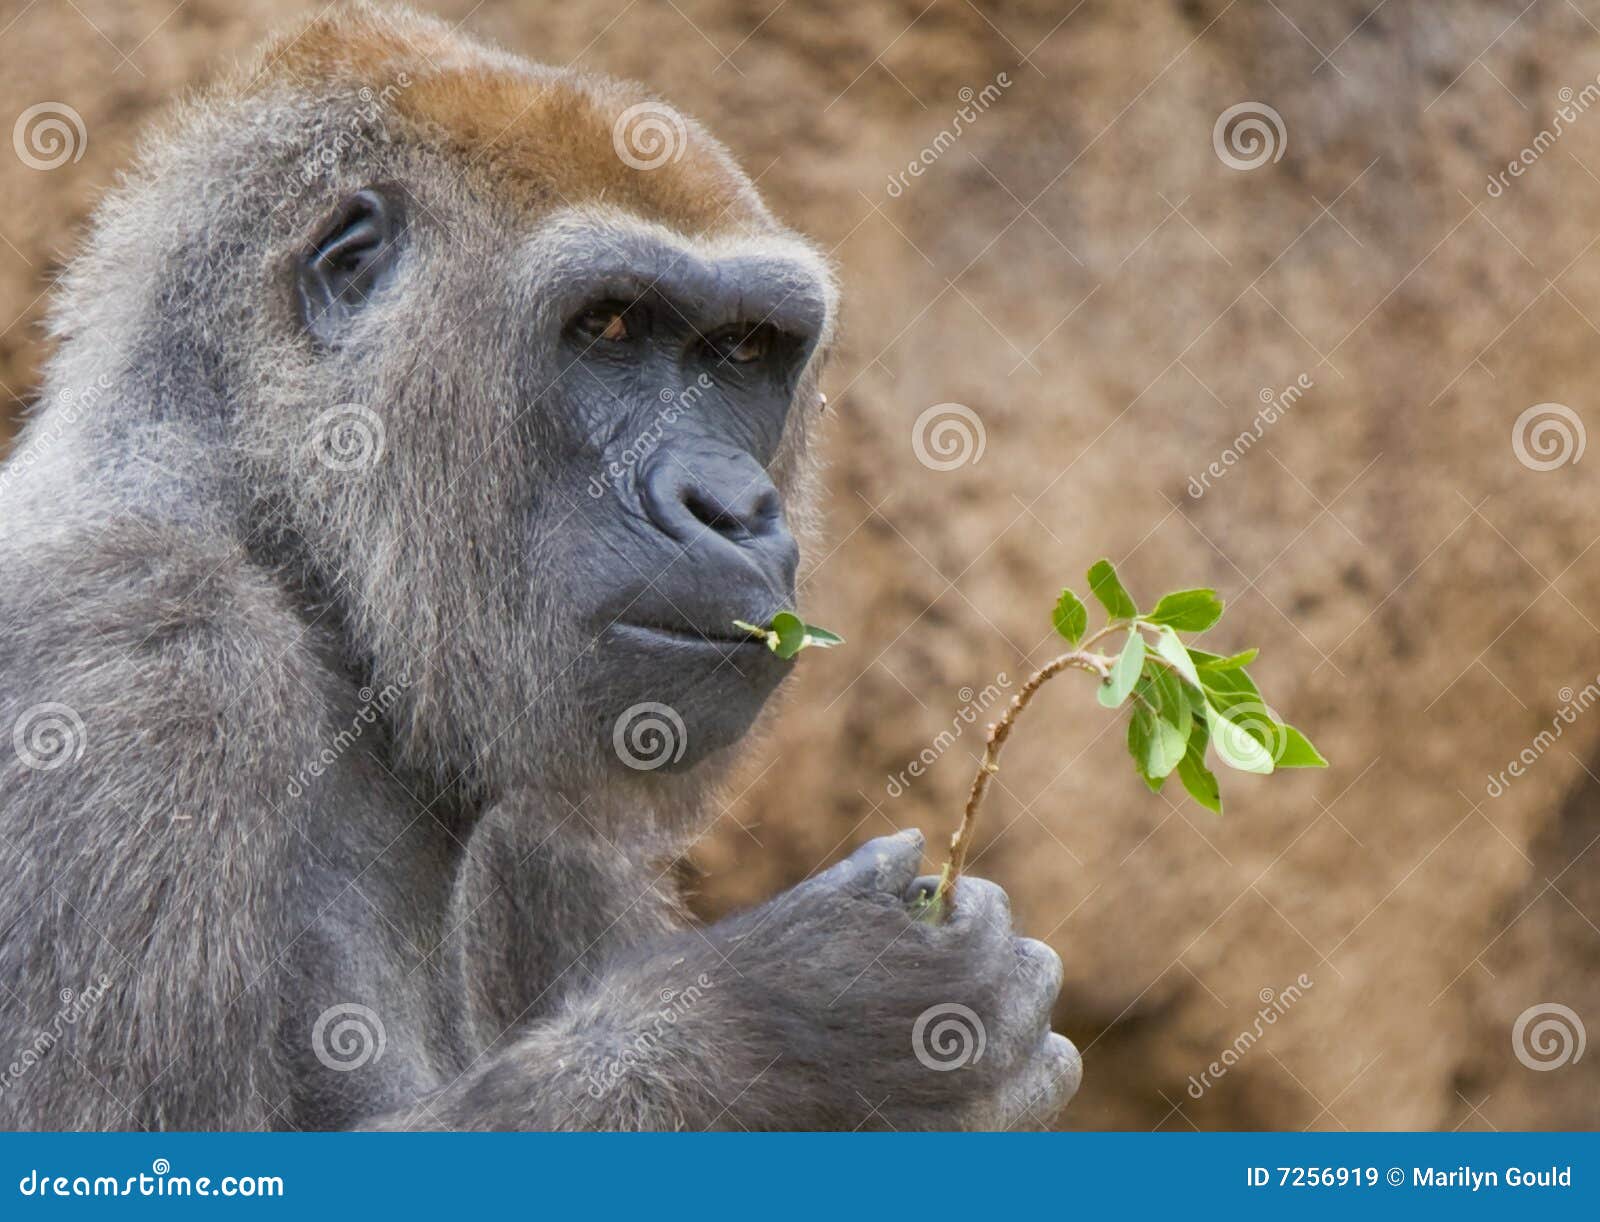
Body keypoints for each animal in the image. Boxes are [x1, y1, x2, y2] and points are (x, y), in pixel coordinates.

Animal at [0, 2, 1080, 1131]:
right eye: (605, 326)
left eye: (745, 350)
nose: (732, 508)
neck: (277, 534)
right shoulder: (134, 656)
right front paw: (810, 1028)